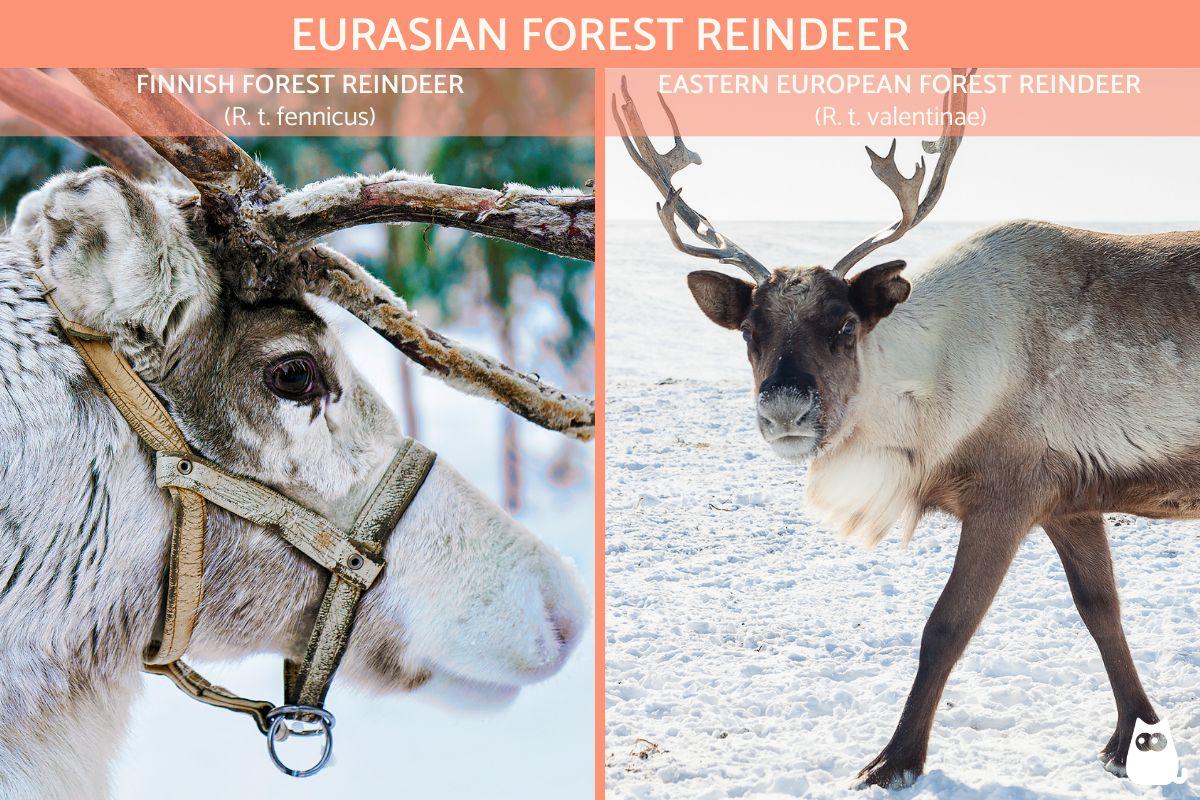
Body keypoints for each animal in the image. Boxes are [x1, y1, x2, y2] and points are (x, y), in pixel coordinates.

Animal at [615, 72, 1197, 788]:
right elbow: (1101, 611)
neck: (926, 397)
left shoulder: (1007, 495)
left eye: (844, 327)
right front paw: (1134, 739)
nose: (784, 408)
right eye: (750, 330)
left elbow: (946, 626)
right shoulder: (1071, 499)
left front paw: (894, 761)